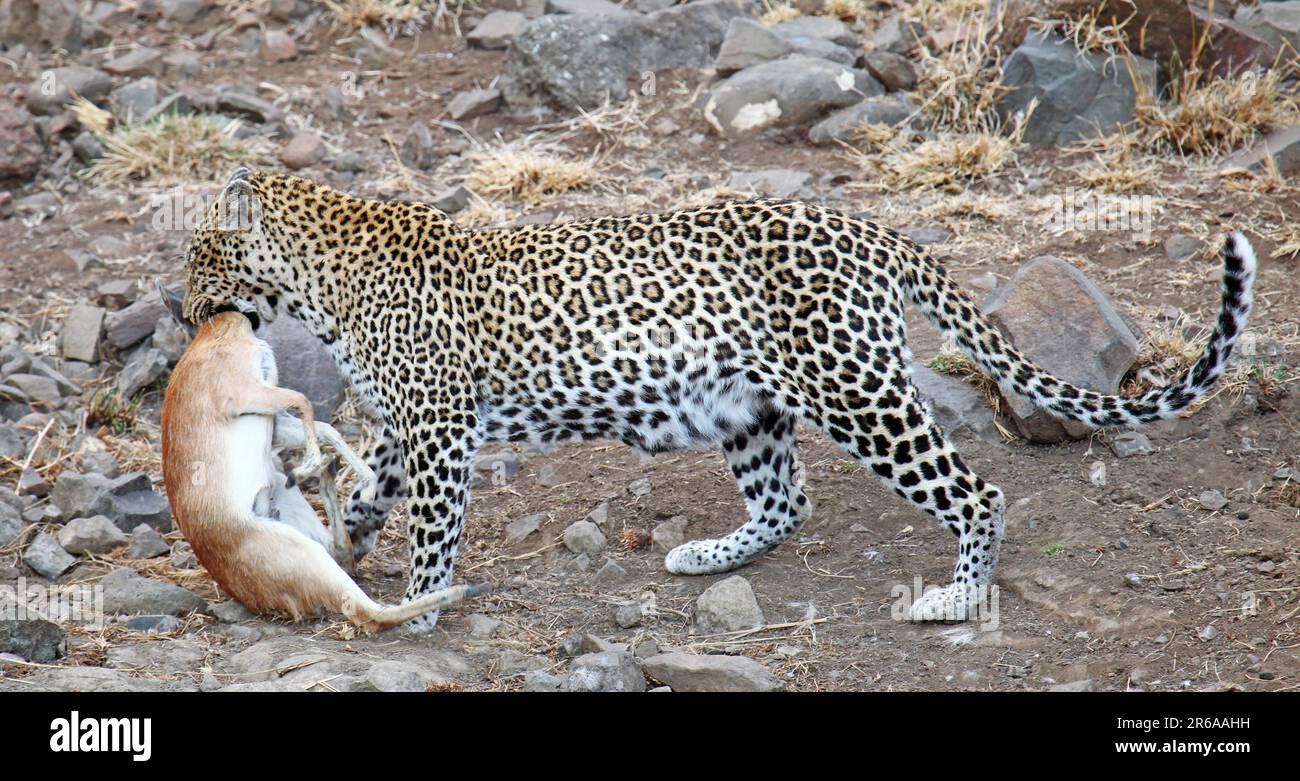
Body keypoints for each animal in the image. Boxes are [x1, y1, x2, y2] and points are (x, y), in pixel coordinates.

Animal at [180, 167, 1256, 628]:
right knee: (788, 498)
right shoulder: (415, 422)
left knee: (974, 490)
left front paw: (418, 604)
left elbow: (435, 526)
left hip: (855, 390)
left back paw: (954, 596)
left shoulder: (441, 425)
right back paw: (708, 554)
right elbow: (375, 485)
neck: (321, 285)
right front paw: (354, 539)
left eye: (198, 255)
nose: (186, 311)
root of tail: (871, 230)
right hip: (747, 403)